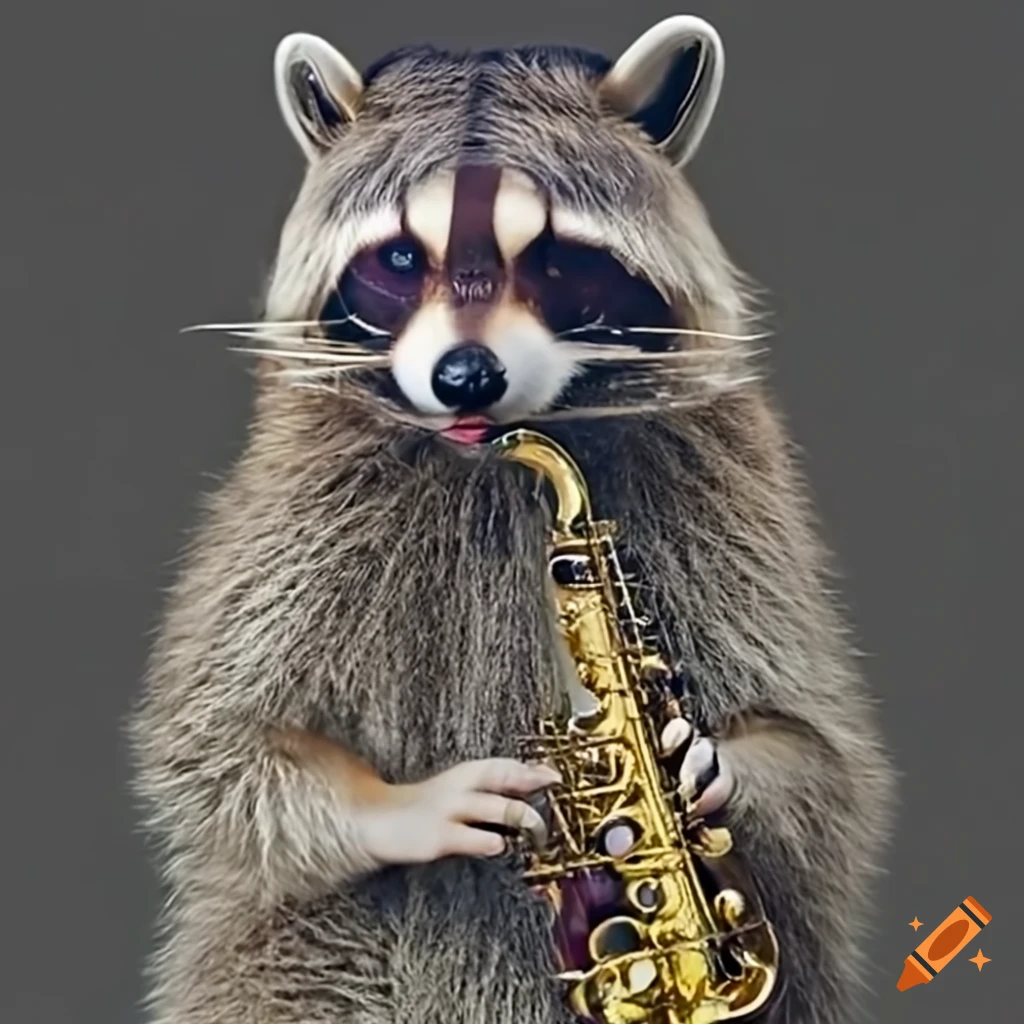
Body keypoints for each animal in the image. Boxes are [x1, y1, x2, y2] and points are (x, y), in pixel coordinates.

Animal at [131, 16, 896, 1024]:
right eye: (401, 258)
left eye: (558, 258)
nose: (466, 380)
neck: (488, 477)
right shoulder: (298, 496)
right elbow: (215, 748)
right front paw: (425, 807)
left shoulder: (730, 475)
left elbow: (819, 752)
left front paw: (703, 764)